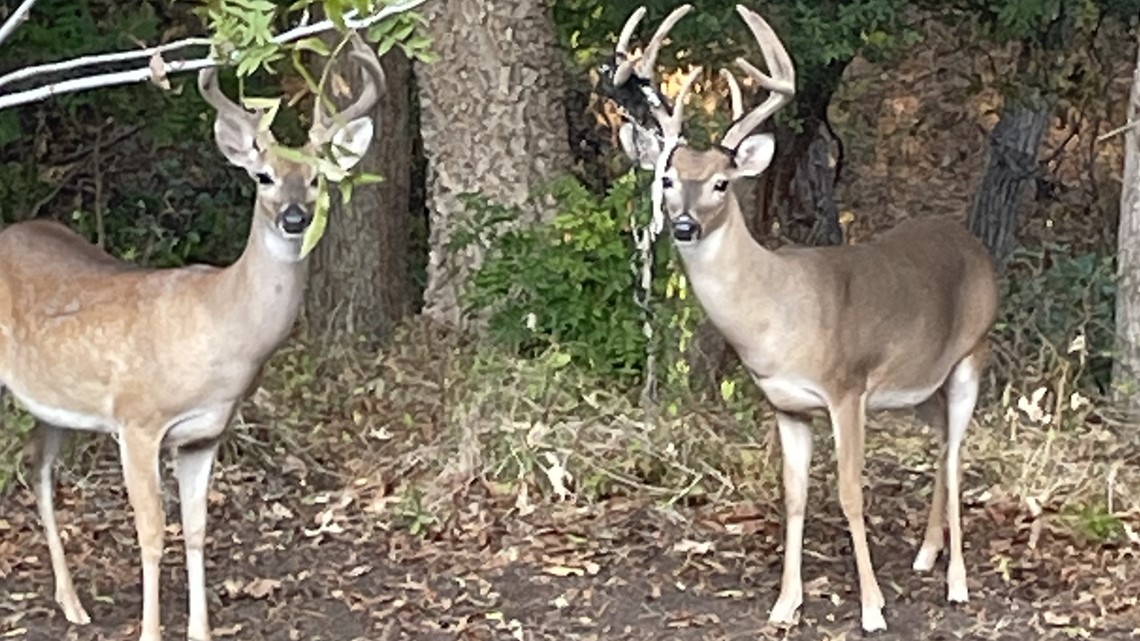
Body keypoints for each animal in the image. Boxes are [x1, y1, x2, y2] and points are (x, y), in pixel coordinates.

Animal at [0, 34, 383, 641]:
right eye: (263, 176)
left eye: (318, 178)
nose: (295, 217)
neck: (221, 329)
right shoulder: (138, 420)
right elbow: (154, 532)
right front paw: (150, 631)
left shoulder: (204, 433)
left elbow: (199, 529)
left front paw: (200, 630)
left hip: (54, 403)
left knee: (36, 468)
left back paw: (73, 603)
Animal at [600, 4, 999, 633]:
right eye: (666, 178)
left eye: (721, 183)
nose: (684, 225)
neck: (775, 314)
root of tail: (975, 245)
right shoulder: (786, 404)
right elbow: (793, 496)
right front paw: (786, 605)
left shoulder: (847, 386)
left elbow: (851, 492)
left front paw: (872, 609)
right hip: (919, 388)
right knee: (941, 447)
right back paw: (926, 552)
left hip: (971, 355)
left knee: (959, 456)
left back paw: (956, 581)